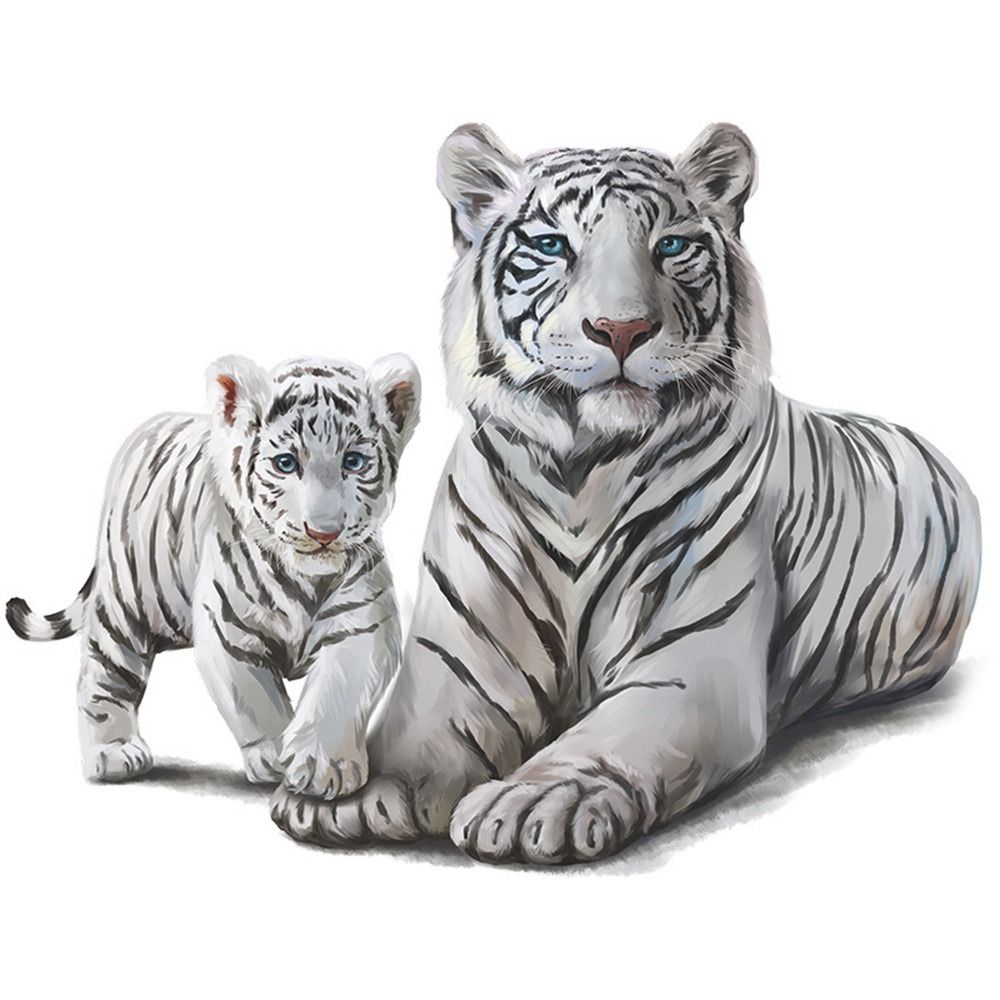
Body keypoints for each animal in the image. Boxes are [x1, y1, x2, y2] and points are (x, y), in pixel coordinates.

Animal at [7, 353, 420, 798]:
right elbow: (257, 698)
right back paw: (114, 753)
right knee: (104, 672)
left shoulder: (363, 624)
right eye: (286, 464)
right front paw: (275, 756)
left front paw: (325, 766)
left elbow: (338, 693)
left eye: (354, 462)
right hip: (125, 602)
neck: (306, 579)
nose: (323, 533)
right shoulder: (229, 630)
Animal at [269, 122, 981, 865]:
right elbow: (415, 733)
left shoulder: (689, 665)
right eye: (552, 245)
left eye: (669, 245)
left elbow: (605, 741)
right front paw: (351, 790)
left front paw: (534, 801)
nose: (621, 330)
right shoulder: (460, 658)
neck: (580, 472)